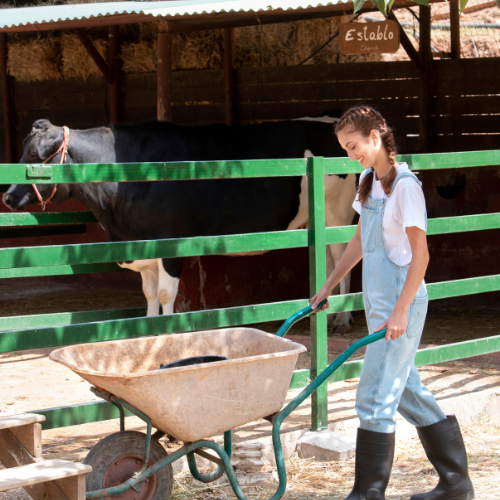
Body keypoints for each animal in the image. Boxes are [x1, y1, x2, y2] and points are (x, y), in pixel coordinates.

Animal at [2, 117, 356, 332]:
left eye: (34, 157)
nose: (8, 196)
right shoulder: (141, 246)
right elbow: (147, 294)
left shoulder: (170, 243)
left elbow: (164, 293)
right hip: (323, 220)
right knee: (329, 259)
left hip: (339, 214)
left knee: (343, 258)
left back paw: (342, 317)